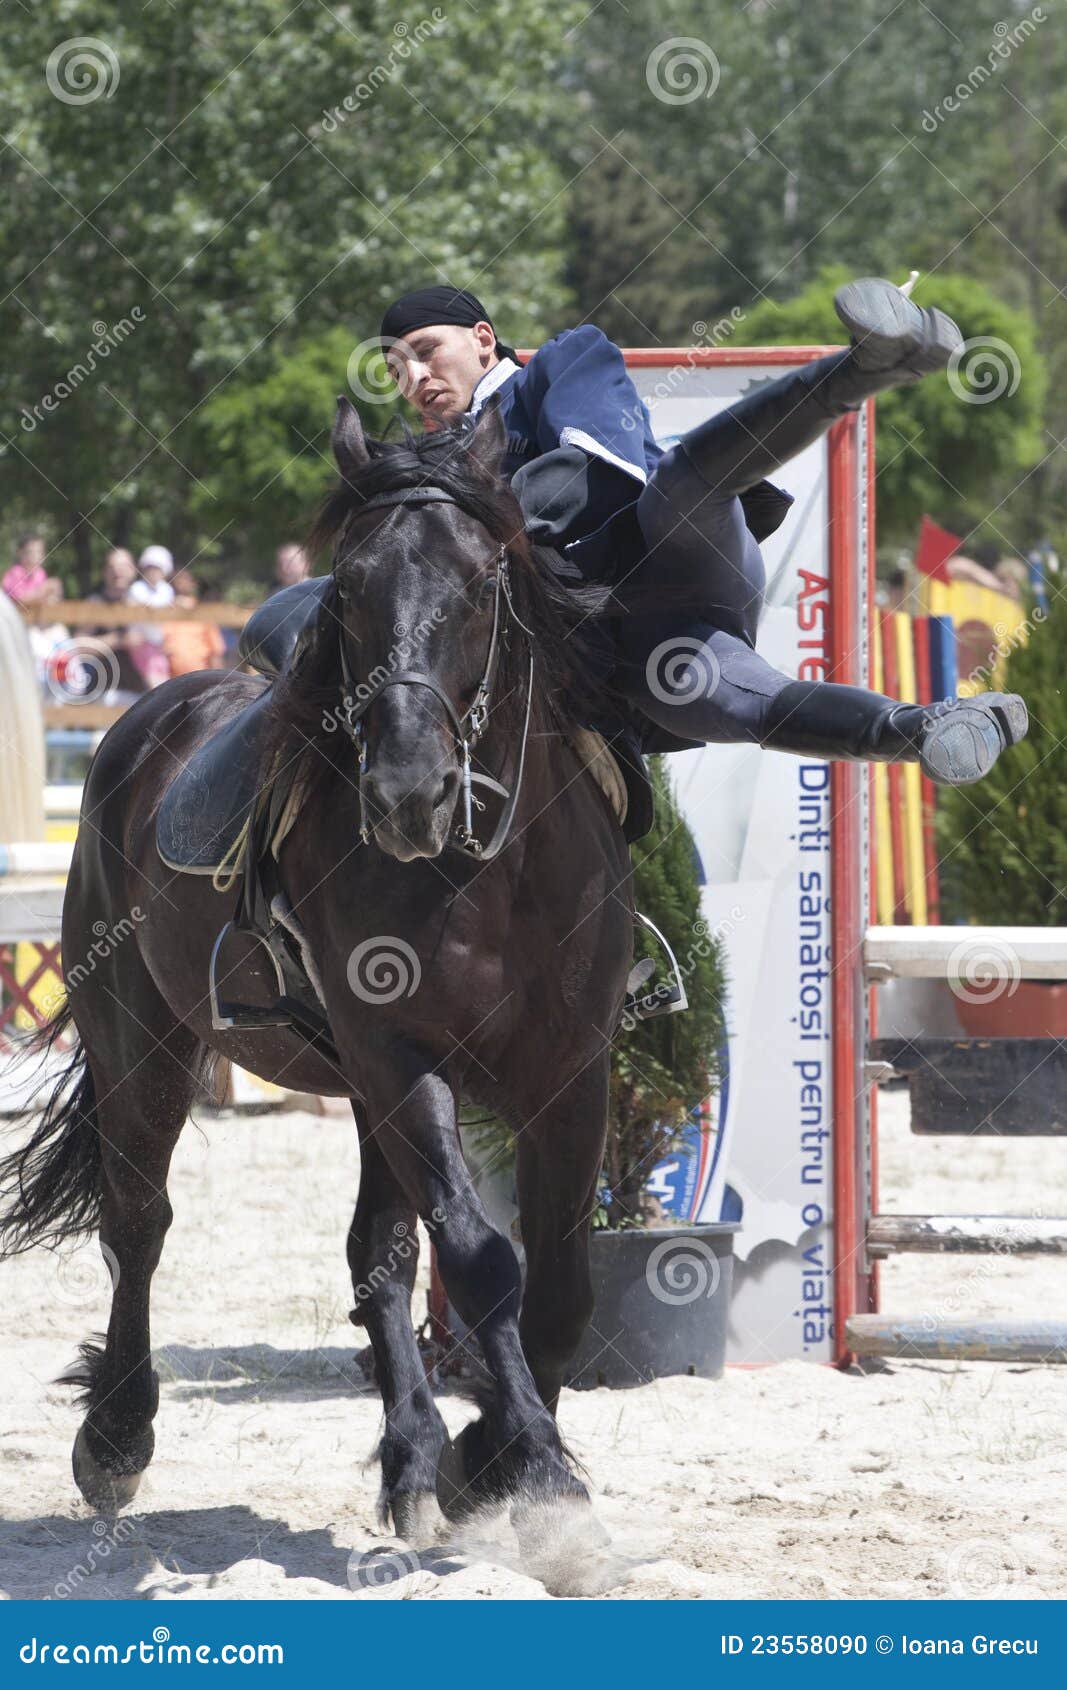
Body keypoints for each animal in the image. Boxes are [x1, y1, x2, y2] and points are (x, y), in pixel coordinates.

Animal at [0, 399, 635, 1553]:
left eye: (484, 579)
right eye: (351, 584)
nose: (407, 792)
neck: (483, 868)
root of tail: (143, 723)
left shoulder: (571, 1068)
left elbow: (558, 1286)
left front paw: (485, 1459)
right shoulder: (398, 1055)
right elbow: (481, 1257)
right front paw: (534, 1475)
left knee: (374, 1252)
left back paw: (413, 1459)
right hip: (144, 1044)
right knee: (138, 1221)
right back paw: (115, 1438)